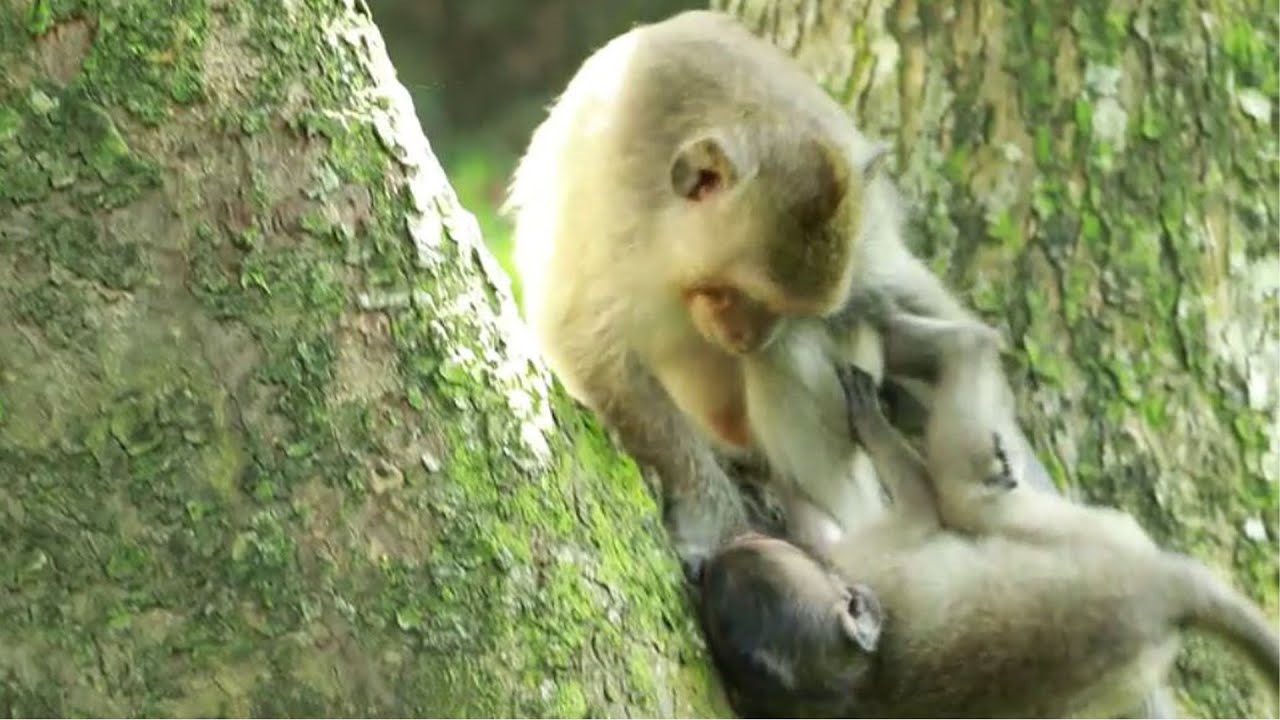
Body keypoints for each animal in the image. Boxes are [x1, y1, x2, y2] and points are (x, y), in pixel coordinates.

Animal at [698, 327, 1280, 718]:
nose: (722, 555)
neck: (857, 678)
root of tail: (1167, 592)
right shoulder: (866, 565)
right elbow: (918, 507)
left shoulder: (867, 565)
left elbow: (911, 507)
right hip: (1104, 544)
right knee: (967, 501)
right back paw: (965, 348)